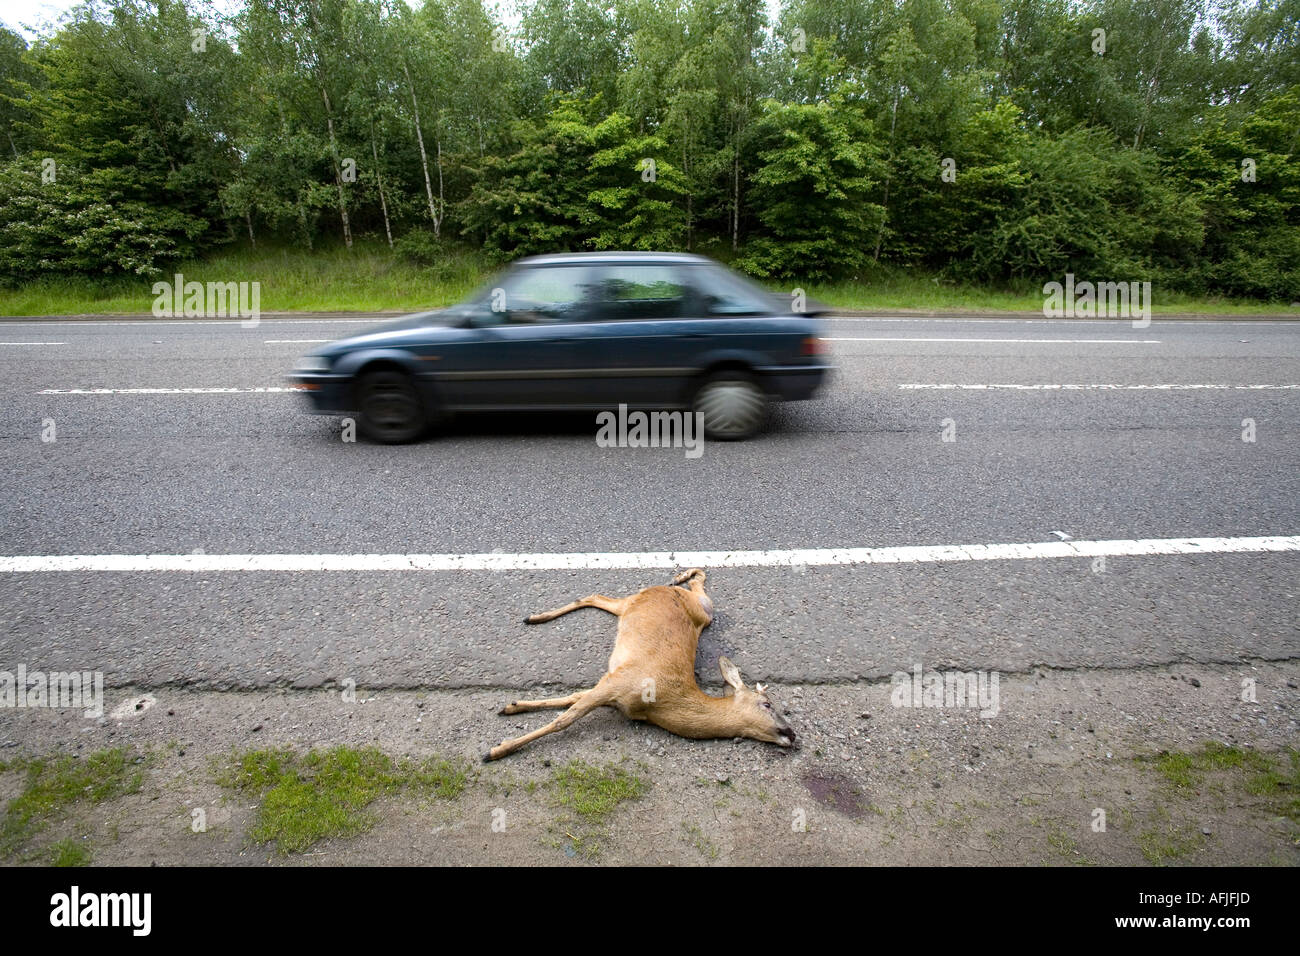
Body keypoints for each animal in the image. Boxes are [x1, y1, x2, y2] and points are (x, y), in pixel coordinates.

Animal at [485, 568, 796, 760]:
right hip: (659, 605)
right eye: (767, 704)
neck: (659, 705)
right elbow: (565, 719)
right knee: (596, 595)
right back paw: (535, 617)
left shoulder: (611, 686)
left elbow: (572, 698)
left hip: (680, 610)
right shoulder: (616, 682)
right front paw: (497, 750)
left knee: (598, 596)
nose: (792, 733)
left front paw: (513, 706)